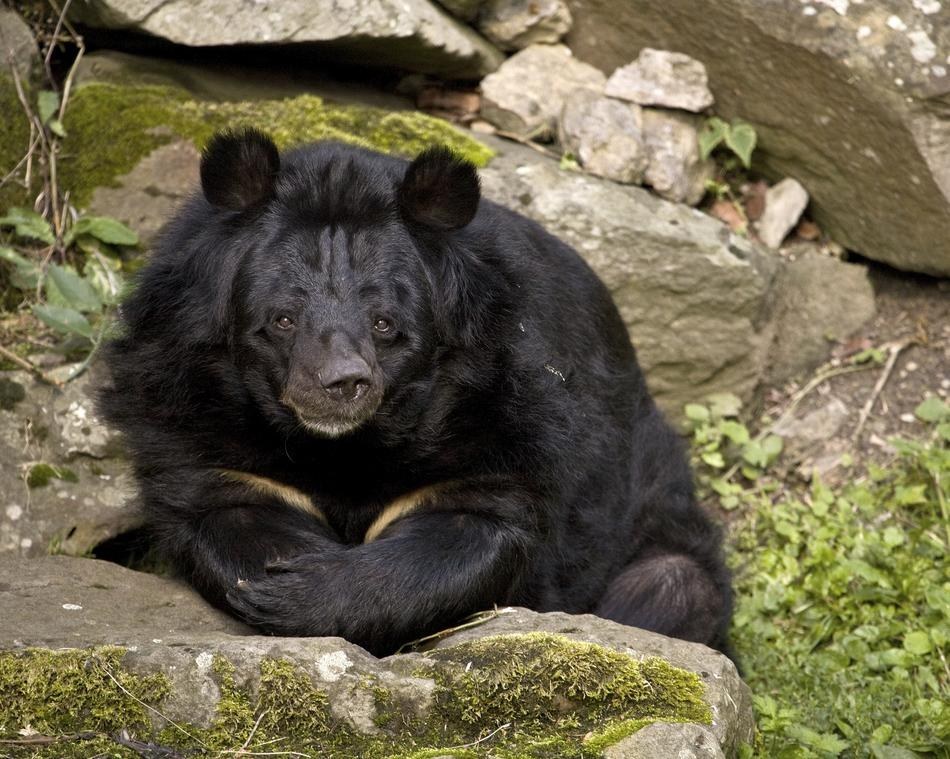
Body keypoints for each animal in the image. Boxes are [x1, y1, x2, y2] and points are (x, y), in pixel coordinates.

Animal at [99, 128, 733, 658]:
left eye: (384, 323)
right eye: (282, 319)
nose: (343, 384)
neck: (342, 444)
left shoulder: (510, 418)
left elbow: (472, 534)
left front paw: (301, 593)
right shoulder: (188, 414)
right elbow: (225, 510)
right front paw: (279, 575)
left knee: (674, 586)